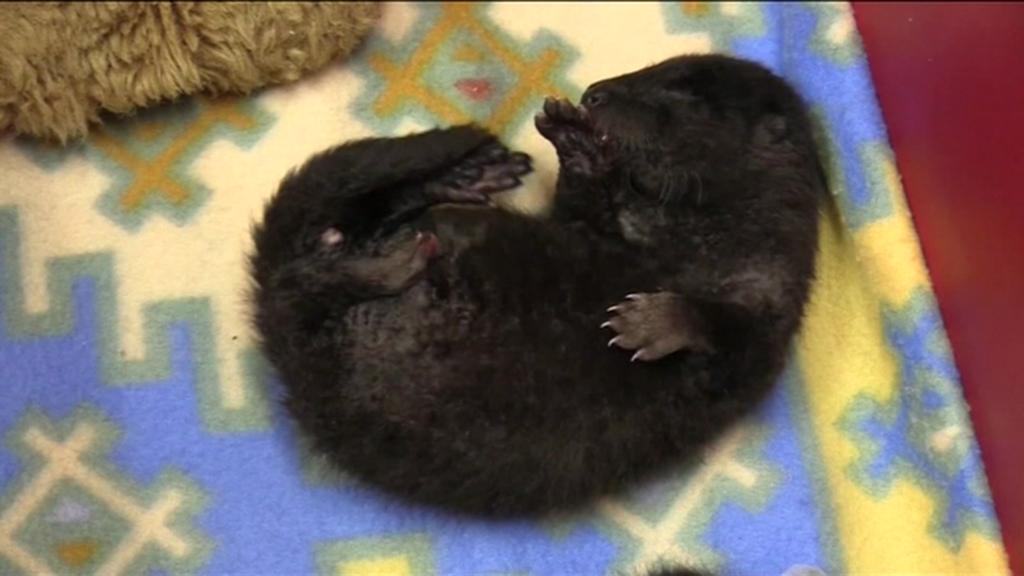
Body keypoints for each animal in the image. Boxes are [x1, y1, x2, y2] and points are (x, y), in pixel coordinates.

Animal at [249, 54, 826, 519]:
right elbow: (581, 205)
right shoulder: (597, 227)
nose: (596, 93)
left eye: (682, 93)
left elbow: (725, 328)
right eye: (649, 69)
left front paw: (649, 321)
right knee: (330, 254)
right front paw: (576, 141)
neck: (701, 239)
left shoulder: (769, 316)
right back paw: (458, 184)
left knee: (309, 279)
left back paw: (398, 257)